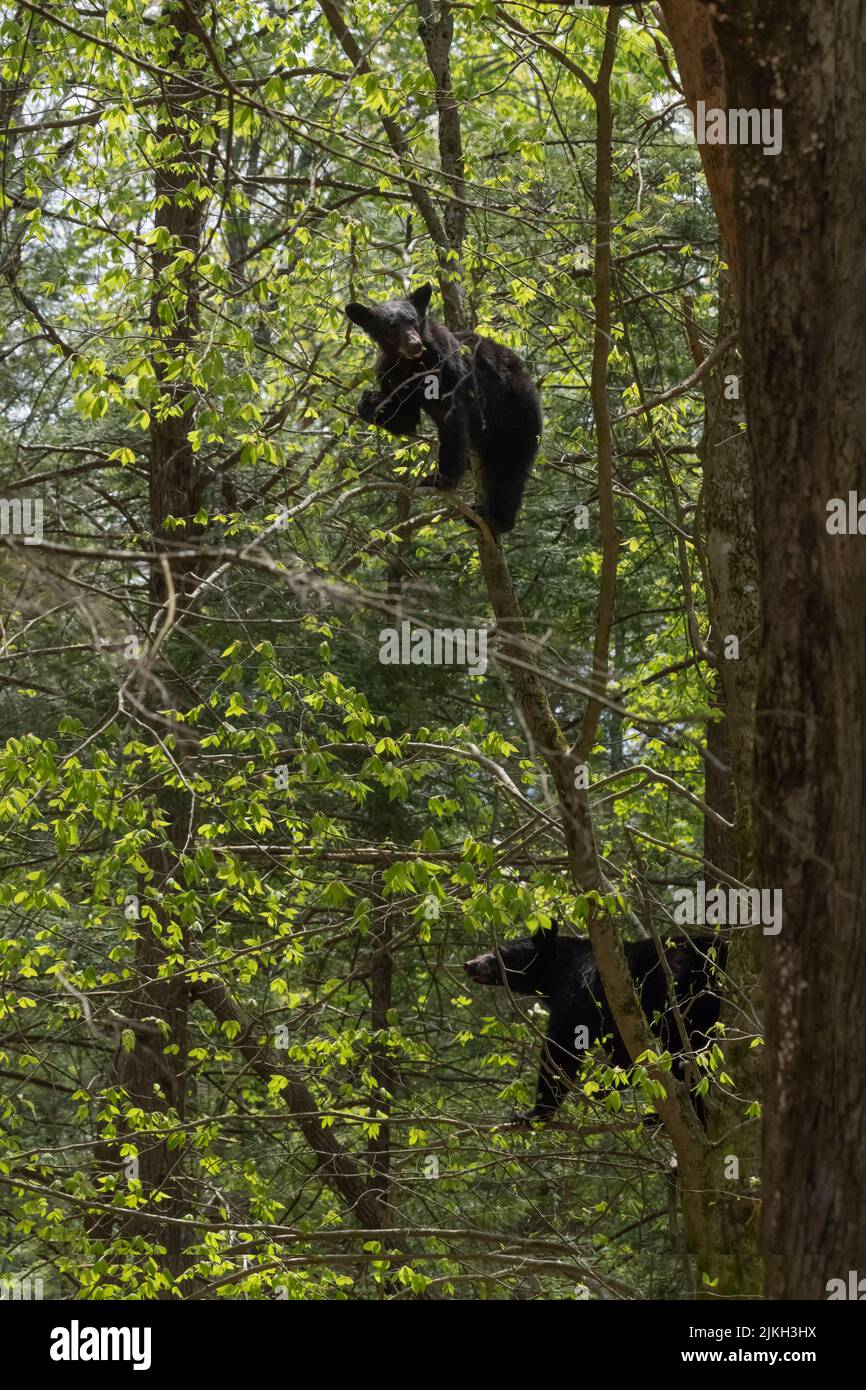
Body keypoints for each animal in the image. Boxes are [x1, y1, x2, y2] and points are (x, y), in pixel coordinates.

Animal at [344, 283, 542, 533]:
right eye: (391, 326)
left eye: (413, 320)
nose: (414, 344)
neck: (411, 364)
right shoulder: (391, 373)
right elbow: (406, 417)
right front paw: (369, 403)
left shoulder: (446, 366)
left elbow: (451, 420)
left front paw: (441, 478)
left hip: (517, 414)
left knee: (509, 469)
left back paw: (495, 520)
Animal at [464, 922, 725, 1122]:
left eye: (500, 950)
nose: (469, 964)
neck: (557, 971)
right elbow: (623, 1052)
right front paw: (609, 1086)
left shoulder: (579, 995)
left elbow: (563, 1047)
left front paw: (535, 1112)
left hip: (690, 998)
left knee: (691, 1054)